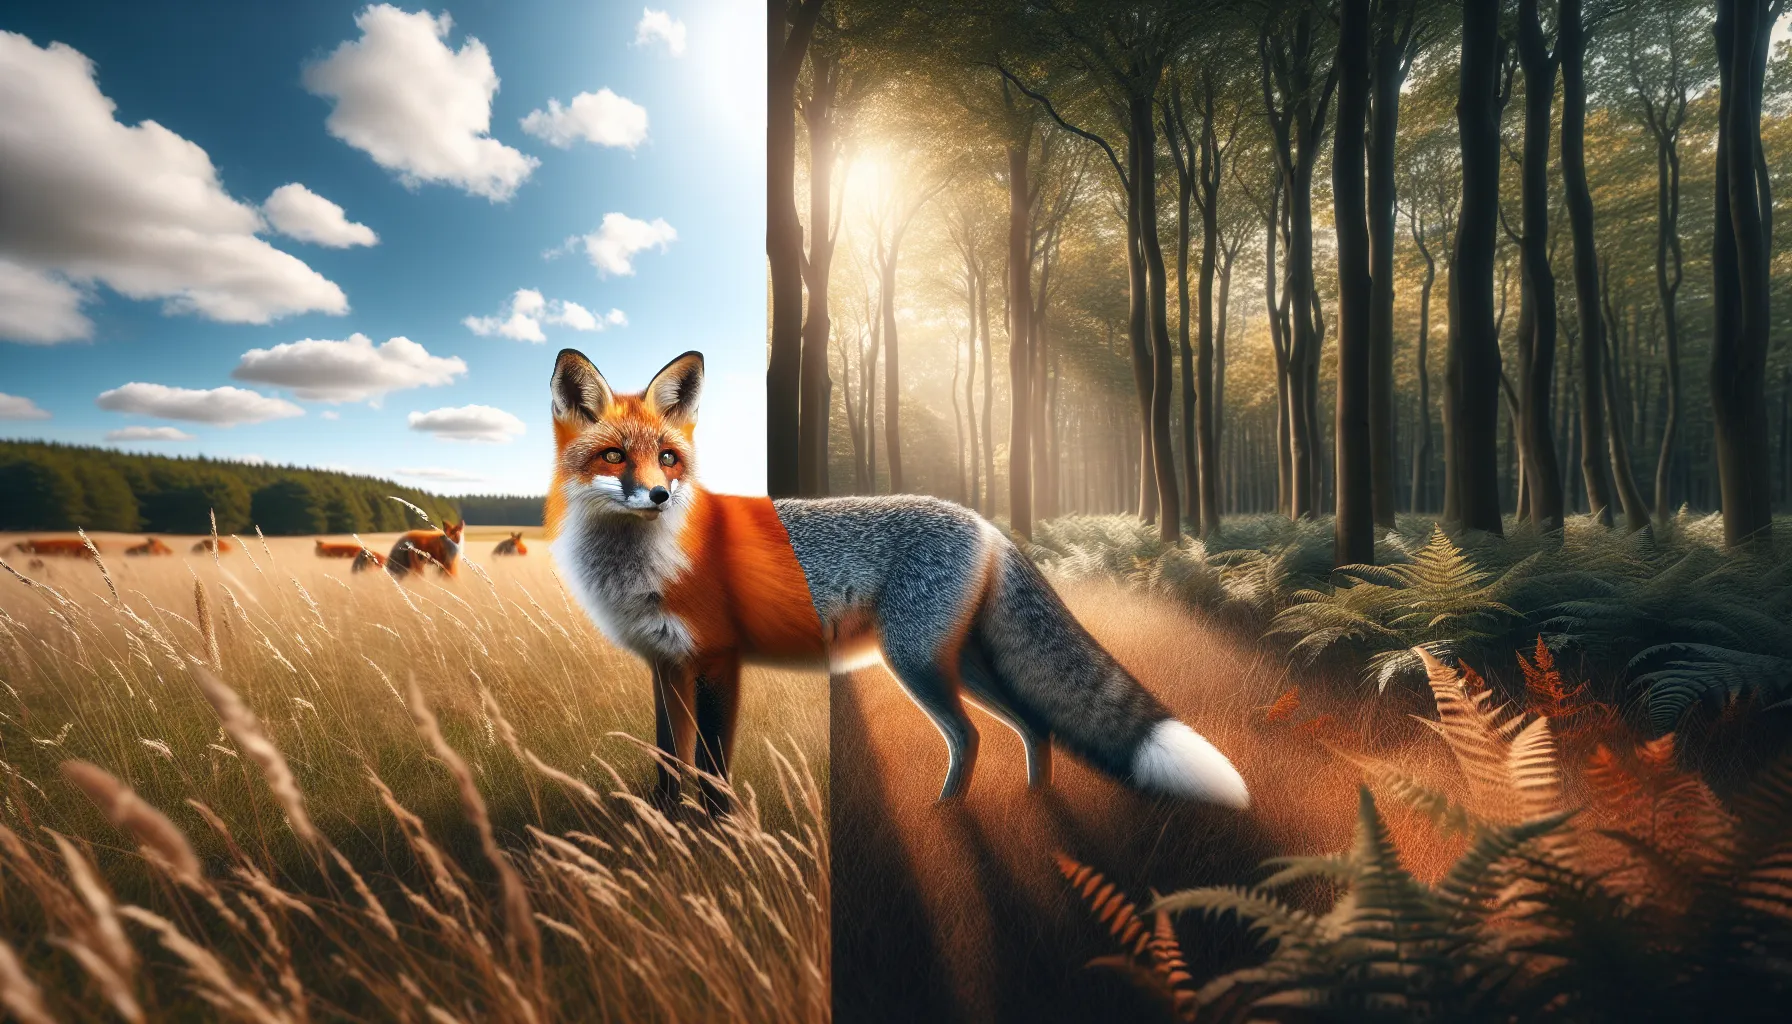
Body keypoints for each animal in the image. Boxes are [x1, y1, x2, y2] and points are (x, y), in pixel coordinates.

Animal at [547, 348, 1248, 814]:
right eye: (614, 456)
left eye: (668, 457)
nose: (660, 496)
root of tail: (984, 523)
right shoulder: (666, 664)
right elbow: (670, 758)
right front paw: (663, 826)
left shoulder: (718, 661)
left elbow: (714, 769)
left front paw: (718, 842)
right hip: (960, 664)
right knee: (1033, 724)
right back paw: (1034, 805)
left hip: (913, 661)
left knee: (970, 735)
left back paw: (946, 815)